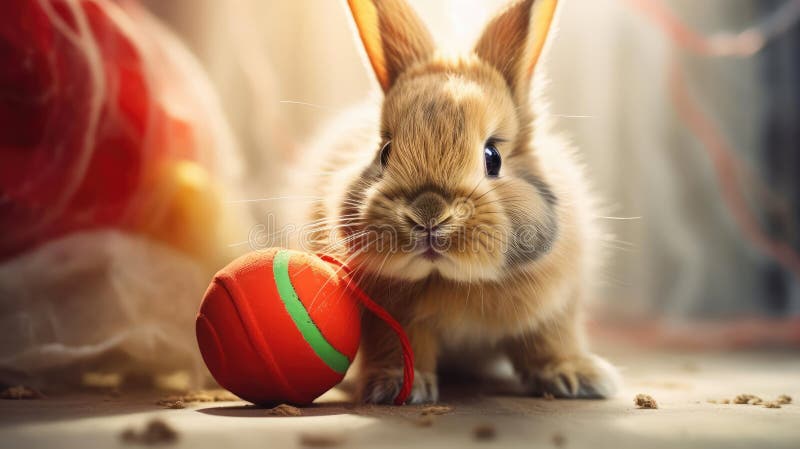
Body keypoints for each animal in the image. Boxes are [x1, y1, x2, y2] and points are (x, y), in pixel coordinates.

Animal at [295, 0, 620, 404]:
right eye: (385, 152)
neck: (457, 283)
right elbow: (402, 348)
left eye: (492, 156)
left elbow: (550, 340)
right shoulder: (390, 320)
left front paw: (576, 379)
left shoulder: (555, 306)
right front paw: (395, 388)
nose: (428, 214)